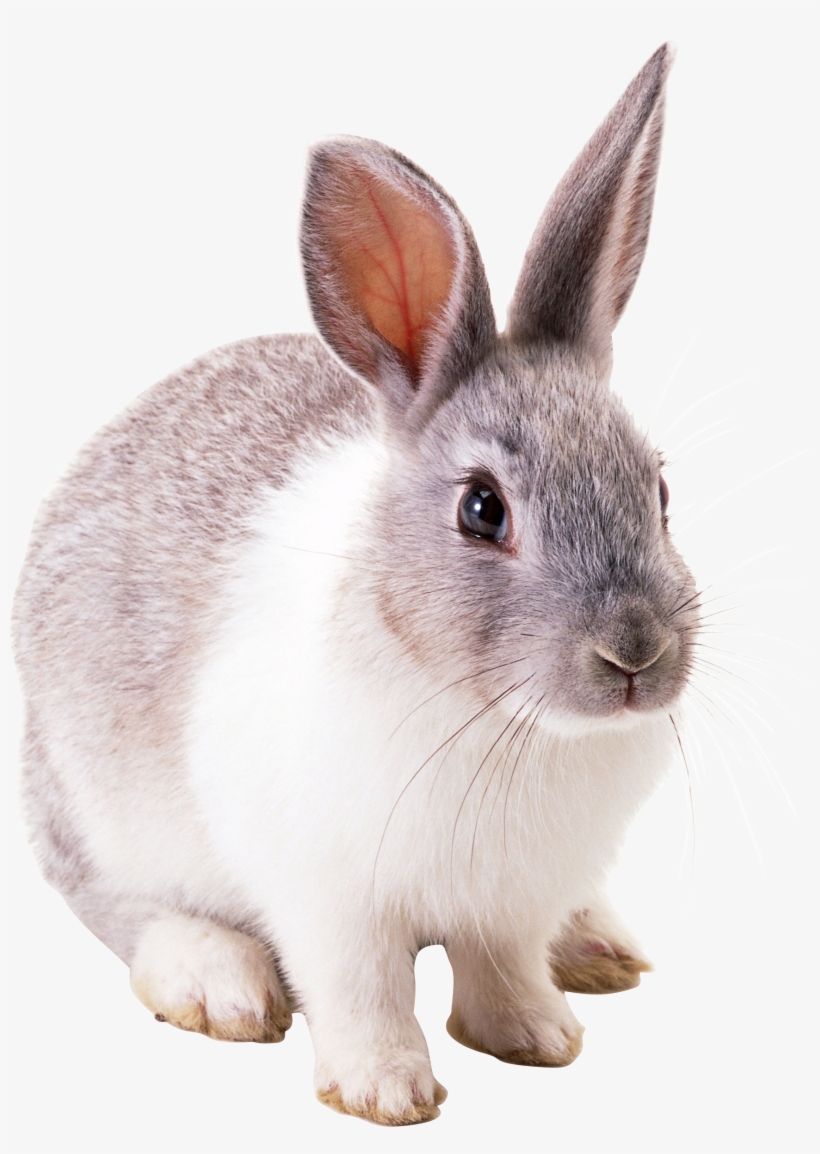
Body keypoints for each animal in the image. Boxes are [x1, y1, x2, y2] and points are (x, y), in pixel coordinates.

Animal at [13, 42, 698, 1126]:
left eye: (660, 490)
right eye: (482, 509)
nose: (635, 653)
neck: (500, 720)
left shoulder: (509, 901)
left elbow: (502, 965)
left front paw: (536, 1036)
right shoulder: (328, 897)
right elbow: (361, 986)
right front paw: (386, 1090)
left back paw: (596, 946)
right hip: (94, 812)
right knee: (118, 905)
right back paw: (216, 978)